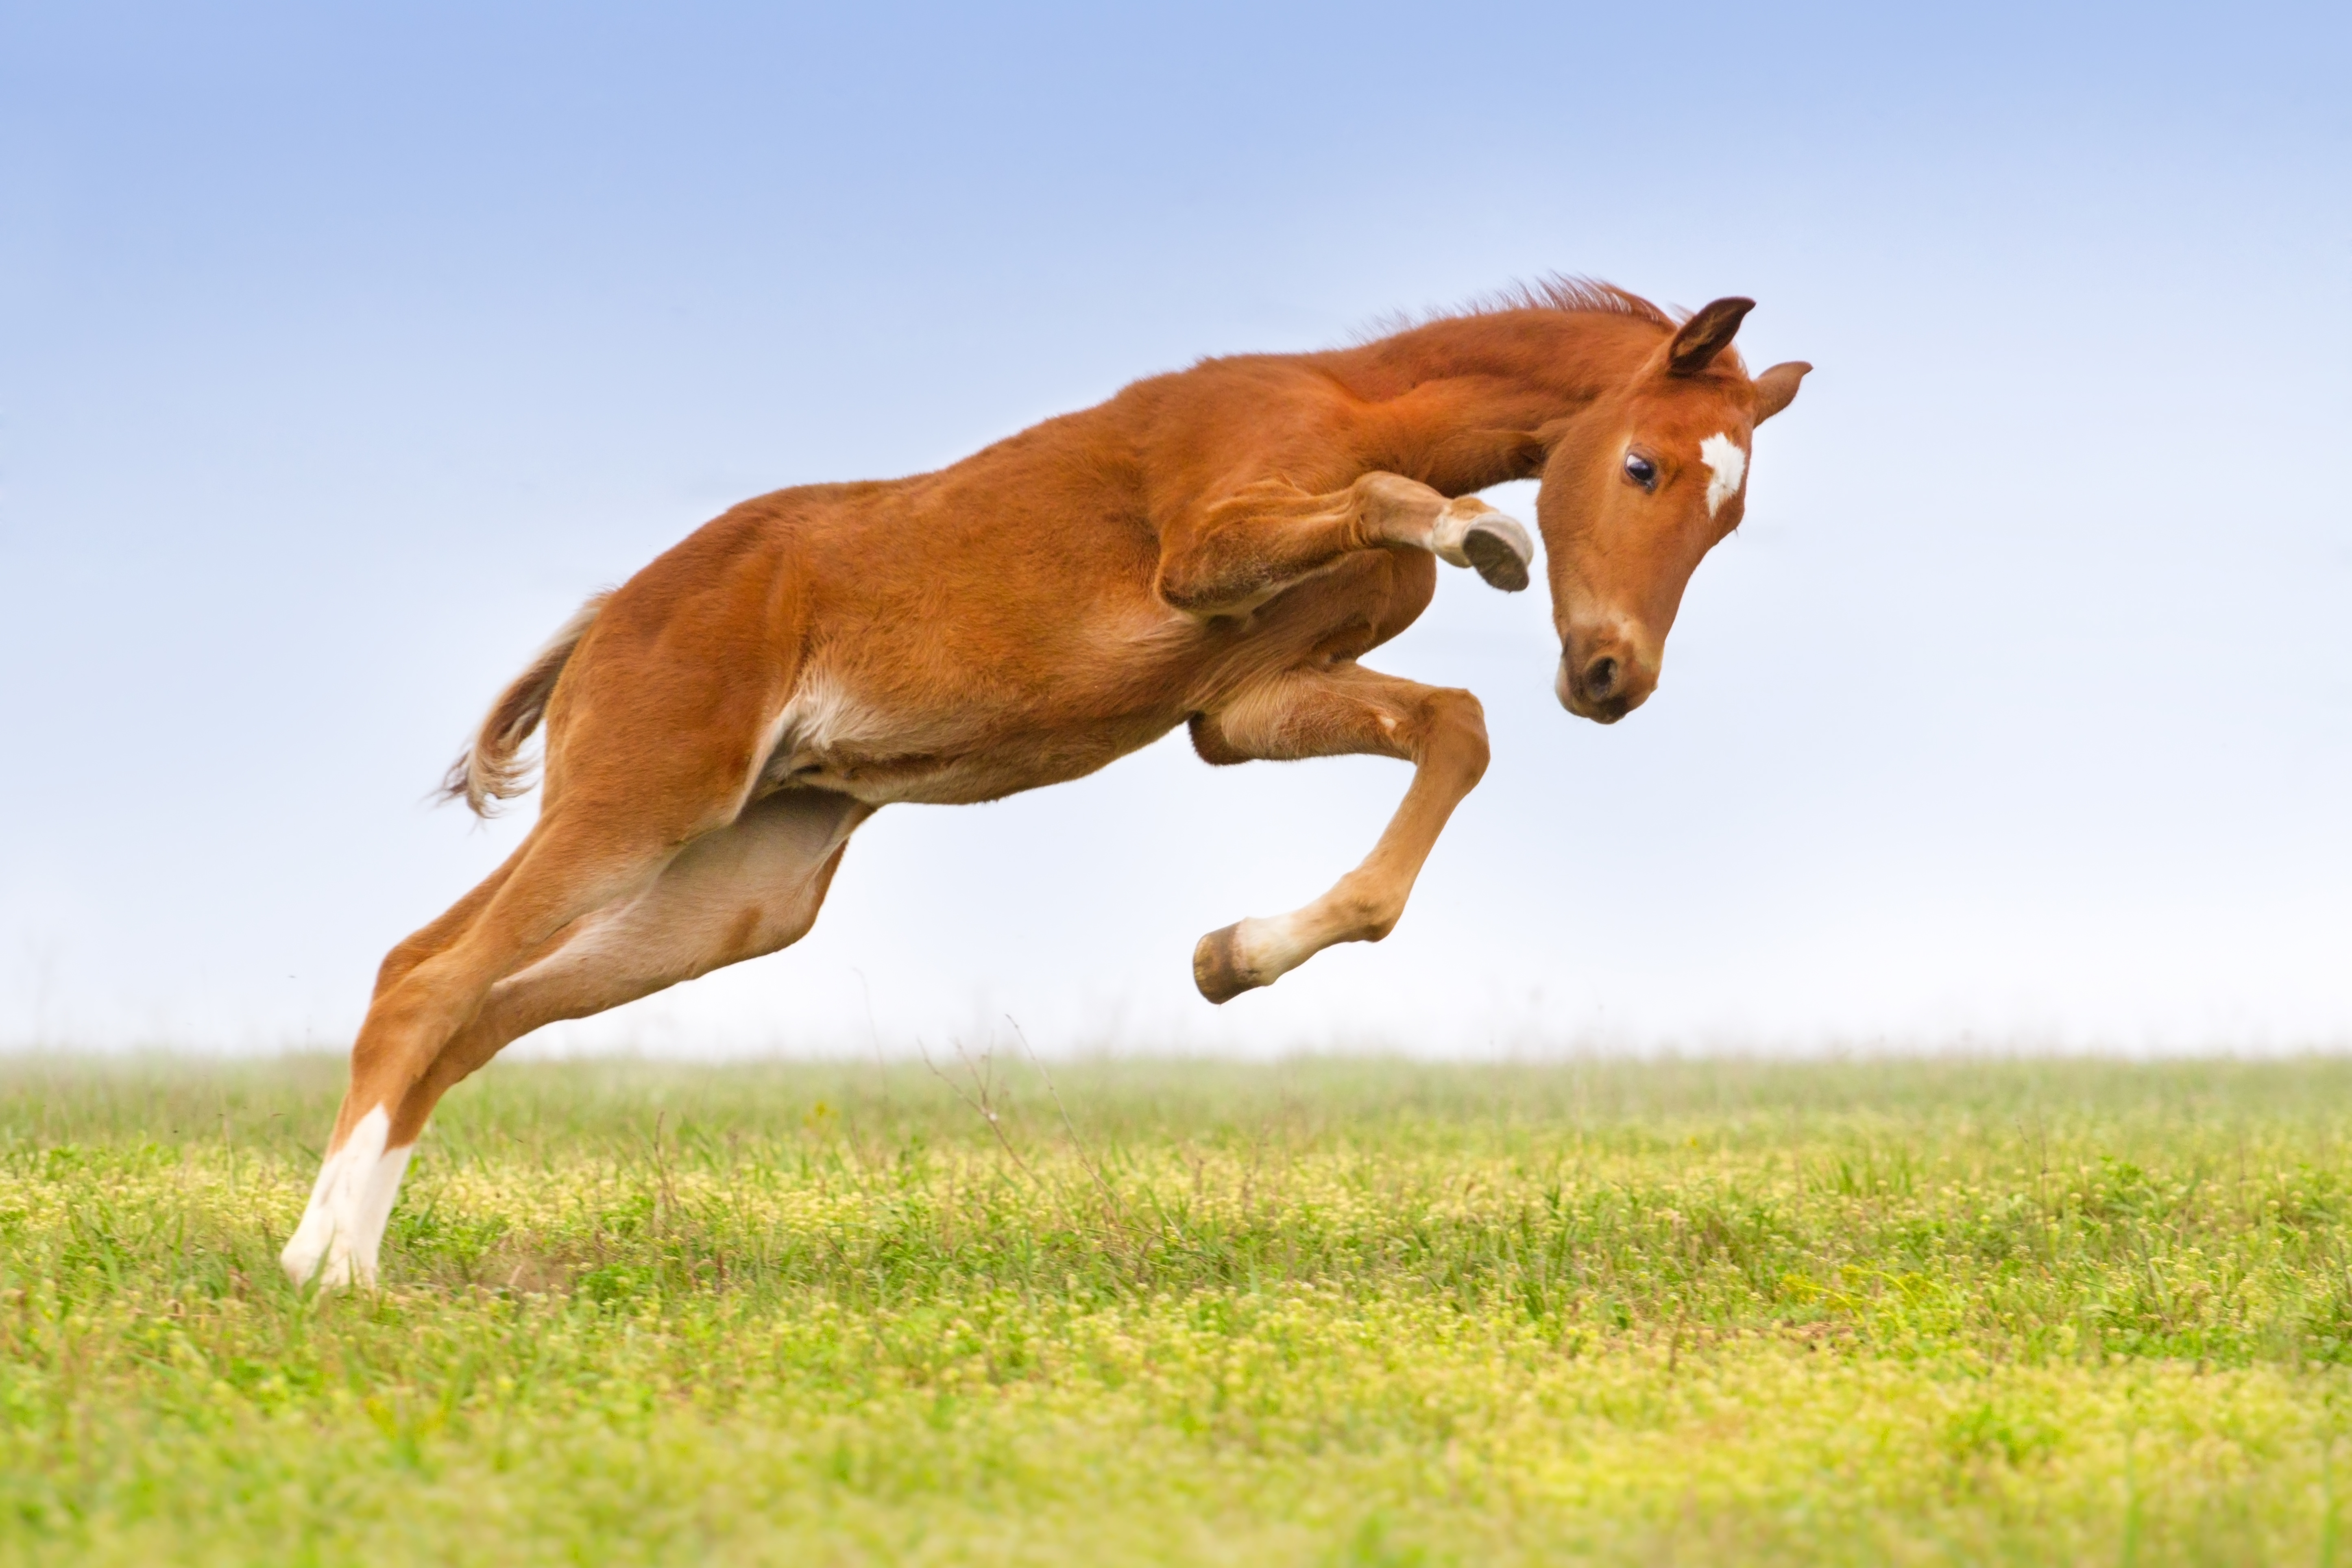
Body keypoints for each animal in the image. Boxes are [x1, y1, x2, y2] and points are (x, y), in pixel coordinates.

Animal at [280, 279, 1809, 1287]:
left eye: (1731, 515)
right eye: (1641, 465)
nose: (1612, 675)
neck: (1358, 404)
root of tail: (610, 615)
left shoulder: (1240, 707)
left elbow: (1458, 731)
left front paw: (1231, 957)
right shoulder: (1202, 553)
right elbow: (1392, 517)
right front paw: (1480, 531)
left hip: (744, 887)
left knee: (478, 1004)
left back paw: (336, 1248)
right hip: (641, 803)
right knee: (426, 975)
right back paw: (326, 1268)